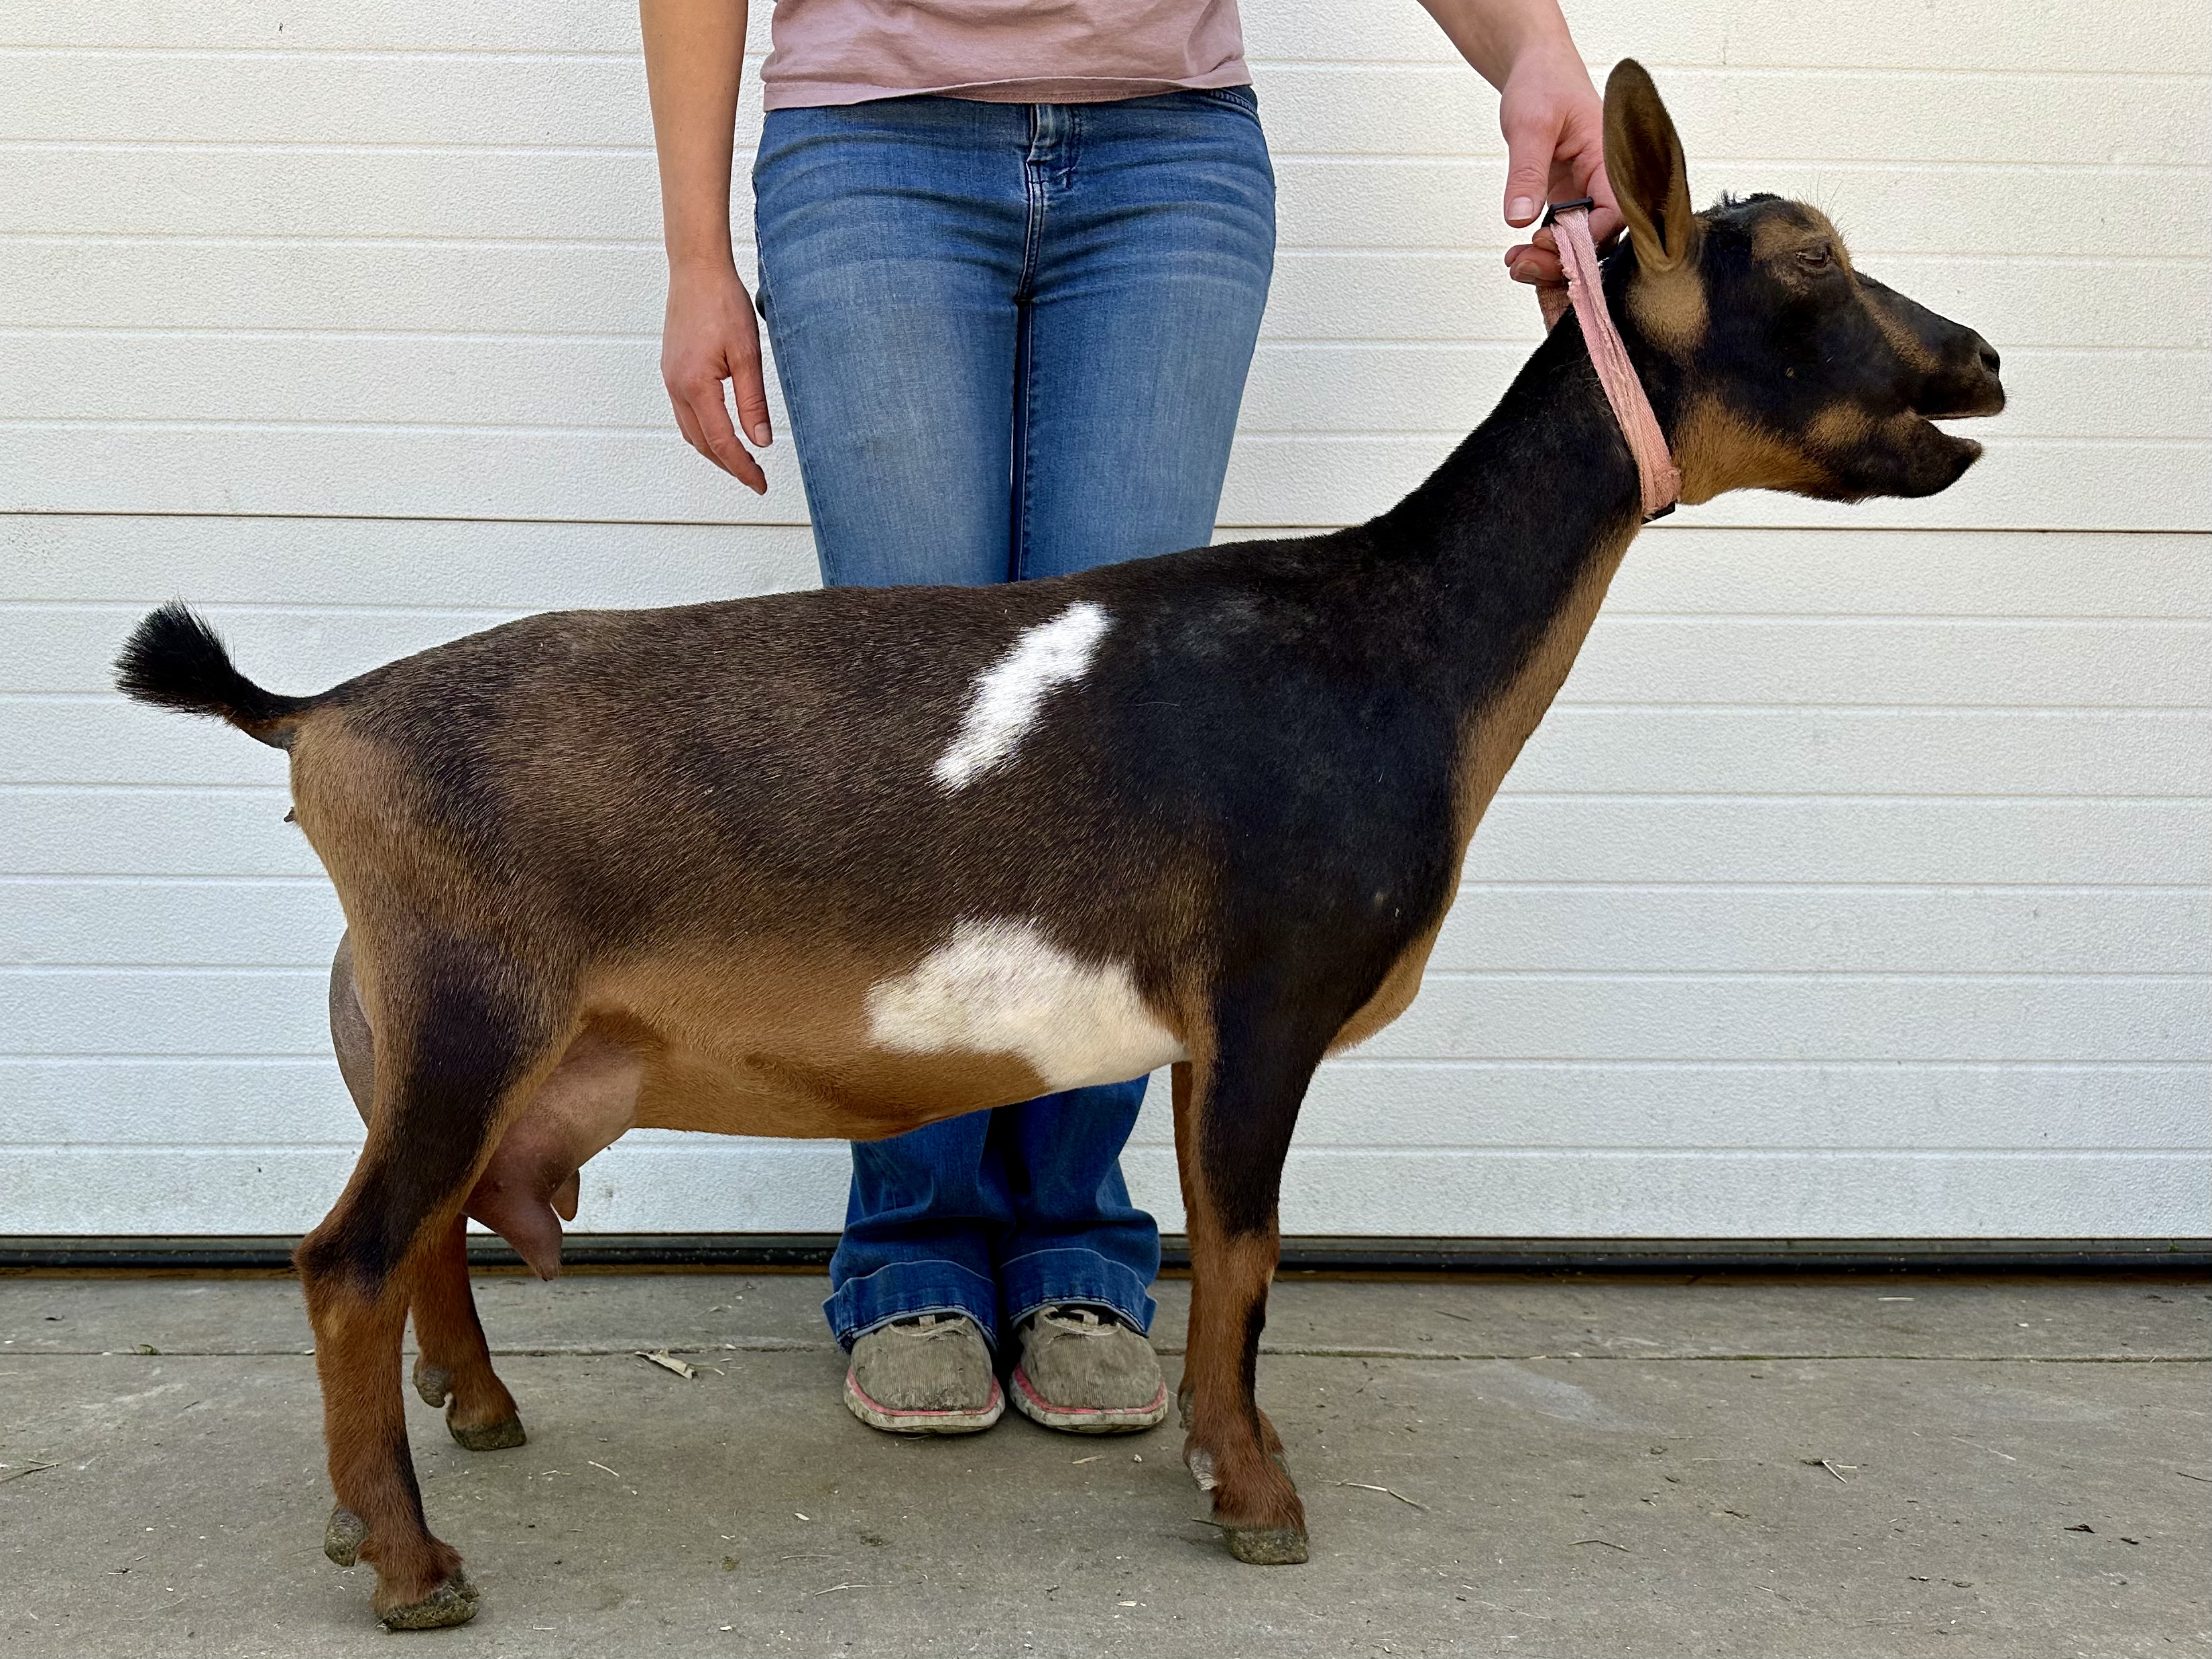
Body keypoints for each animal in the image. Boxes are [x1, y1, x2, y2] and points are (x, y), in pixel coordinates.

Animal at [114, 63, 2002, 1629]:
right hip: (469, 1005)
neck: (1391, 643)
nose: (1981, 356)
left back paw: (453, 1441)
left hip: (434, 1028)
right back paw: (412, 1562)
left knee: (416, 1235)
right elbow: (1240, 1253)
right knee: (347, 1258)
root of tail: (323, 714)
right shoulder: (1264, 998)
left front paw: (1216, 1456)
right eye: (1812, 265)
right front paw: (1255, 1496)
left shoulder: (1207, 1031)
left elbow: (1221, 1256)